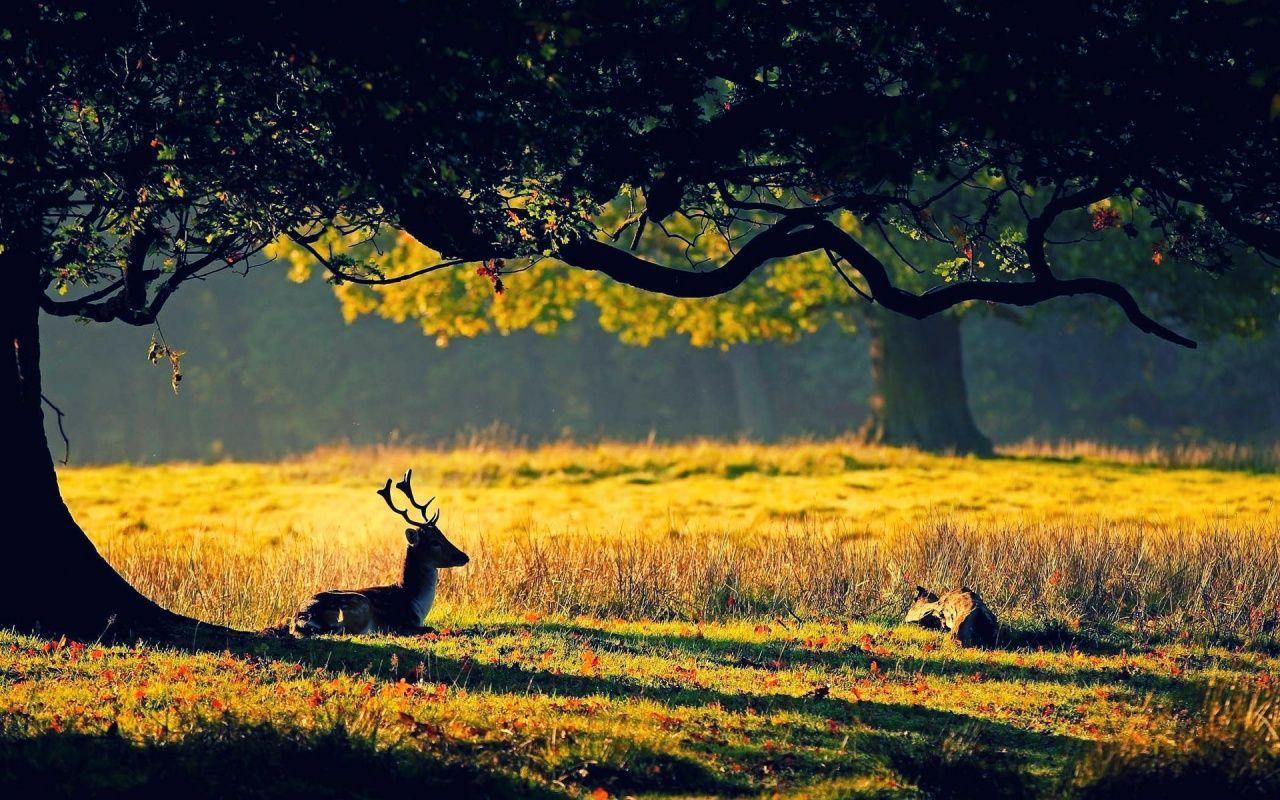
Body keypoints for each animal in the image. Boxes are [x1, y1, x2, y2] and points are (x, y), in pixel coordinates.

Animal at [290, 469, 469, 636]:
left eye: (442, 535)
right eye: (434, 542)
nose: (464, 556)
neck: (414, 603)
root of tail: (300, 619)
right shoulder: (401, 623)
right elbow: (430, 628)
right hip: (359, 605)